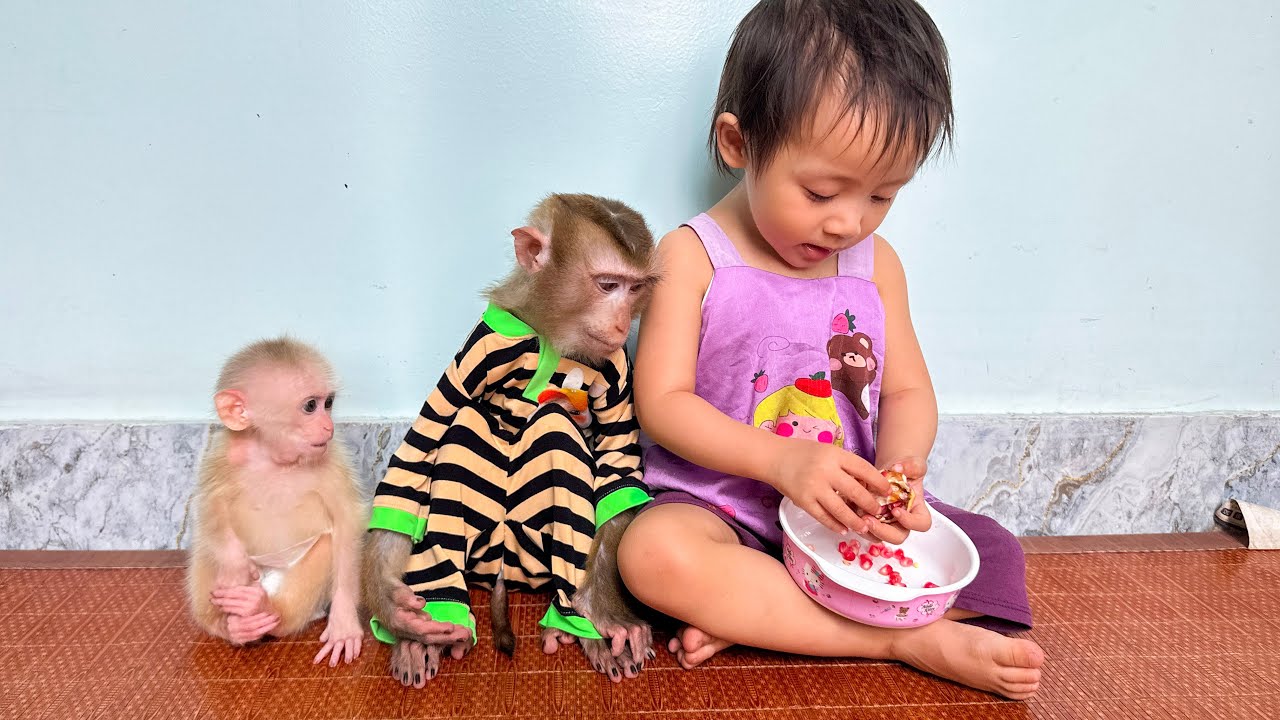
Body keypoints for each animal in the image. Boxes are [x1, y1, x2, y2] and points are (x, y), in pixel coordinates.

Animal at [186, 337, 366, 666]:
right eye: (311, 406)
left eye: (328, 403)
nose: (328, 426)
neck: (274, 456)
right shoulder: (222, 453)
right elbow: (208, 505)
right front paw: (235, 566)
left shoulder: (333, 458)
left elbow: (347, 524)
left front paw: (344, 621)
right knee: (207, 546)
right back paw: (233, 625)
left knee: (325, 548)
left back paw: (267, 610)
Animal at [363, 193, 661, 687]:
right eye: (607, 286)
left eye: (635, 289)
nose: (622, 324)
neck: (550, 337)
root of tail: (503, 564)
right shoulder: (478, 347)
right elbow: (423, 442)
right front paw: (390, 606)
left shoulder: (620, 369)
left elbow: (619, 469)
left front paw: (600, 609)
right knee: (463, 423)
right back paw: (433, 629)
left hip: (531, 551)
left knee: (555, 422)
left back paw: (576, 623)